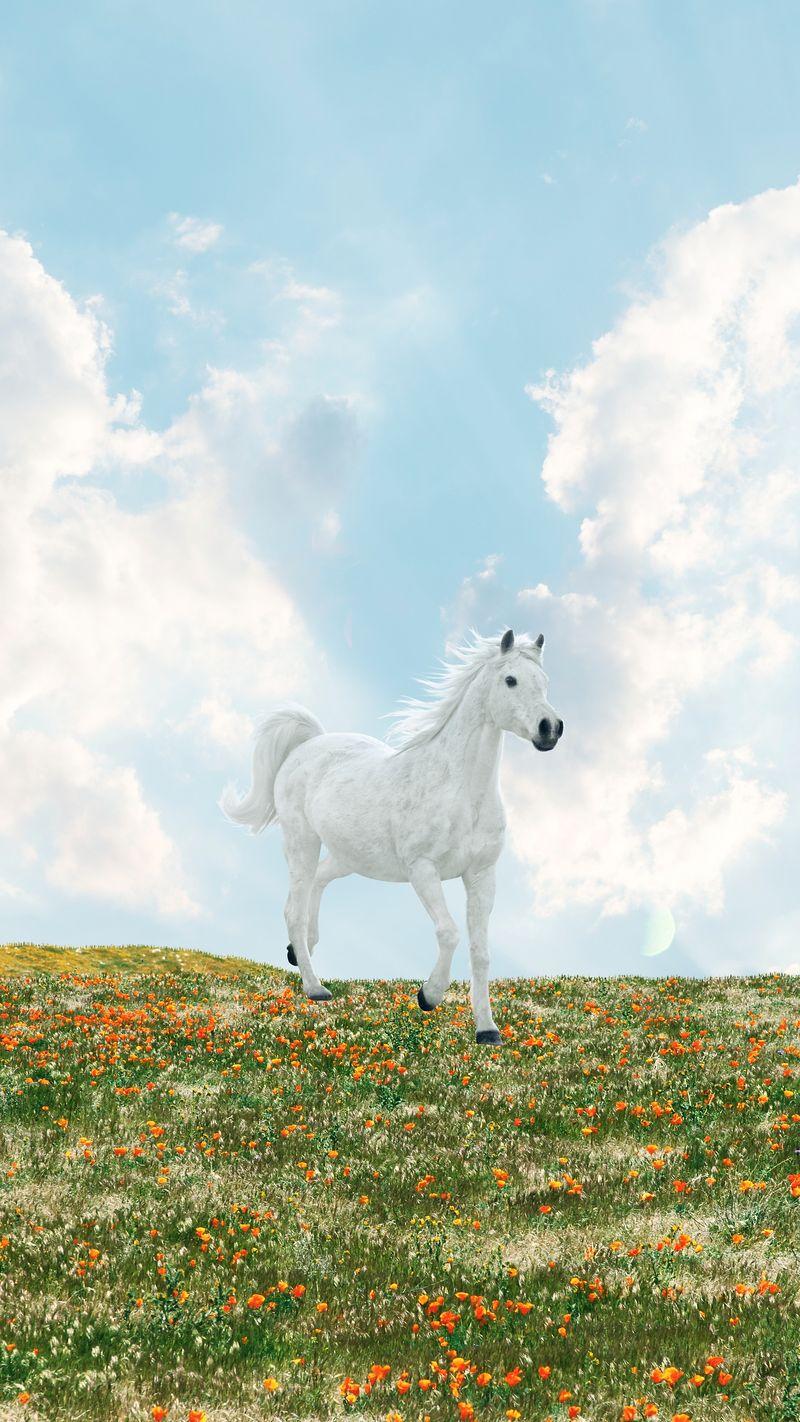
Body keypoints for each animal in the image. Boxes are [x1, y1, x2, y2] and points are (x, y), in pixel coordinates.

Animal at [220, 627, 563, 1043]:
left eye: (544, 681)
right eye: (510, 680)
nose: (550, 729)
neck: (461, 791)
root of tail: (309, 743)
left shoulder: (481, 875)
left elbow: (481, 952)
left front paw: (487, 1030)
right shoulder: (423, 869)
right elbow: (449, 933)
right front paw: (428, 995)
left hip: (350, 856)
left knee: (317, 884)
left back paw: (299, 951)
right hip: (302, 842)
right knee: (294, 908)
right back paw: (315, 988)